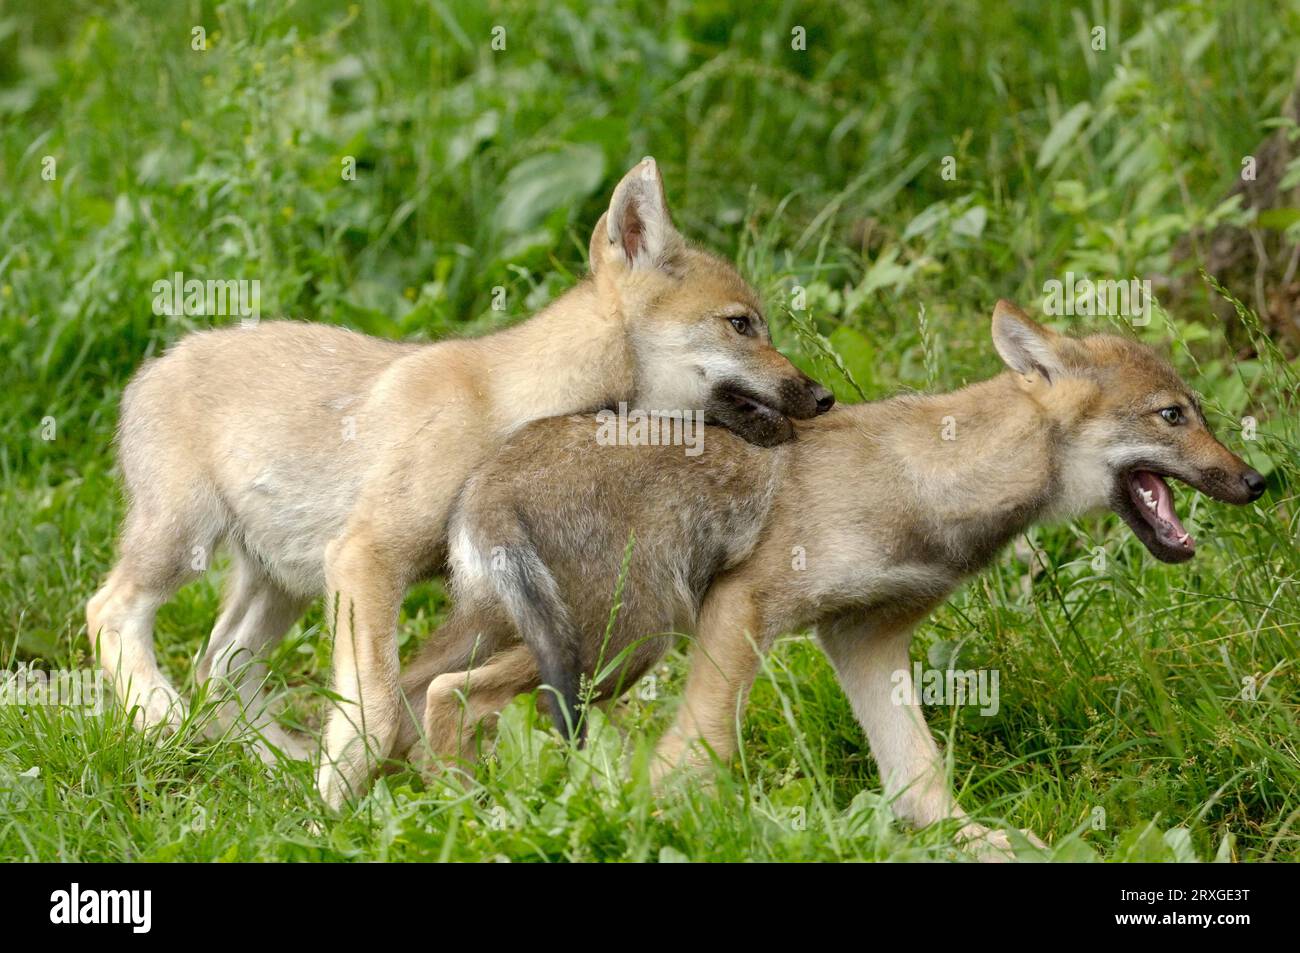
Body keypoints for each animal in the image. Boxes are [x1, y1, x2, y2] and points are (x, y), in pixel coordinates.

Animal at [85, 156, 834, 808]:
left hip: (283, 584)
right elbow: (380, 712)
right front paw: (342, 807)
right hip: (185, 548)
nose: (825, 396)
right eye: (741, 325)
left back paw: (277, 765)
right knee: (109, 610)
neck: (504, 405)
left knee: (221, 671)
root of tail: (152, 366)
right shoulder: (368, 560)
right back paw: (158, 715)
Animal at [397, 300, 1265, 855]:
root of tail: (485, 483)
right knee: (451, 697)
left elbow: (920, 777)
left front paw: (973, 841)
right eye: (1173, 416)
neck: (934, 480)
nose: (1259, 481)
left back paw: (456, 812)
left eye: (1197, 412)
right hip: (625, 644)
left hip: (569, 646)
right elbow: (700, 748)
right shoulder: (743, 610)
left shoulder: (864, 640)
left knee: (419, 693)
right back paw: (471, 815)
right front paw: (671, 823)